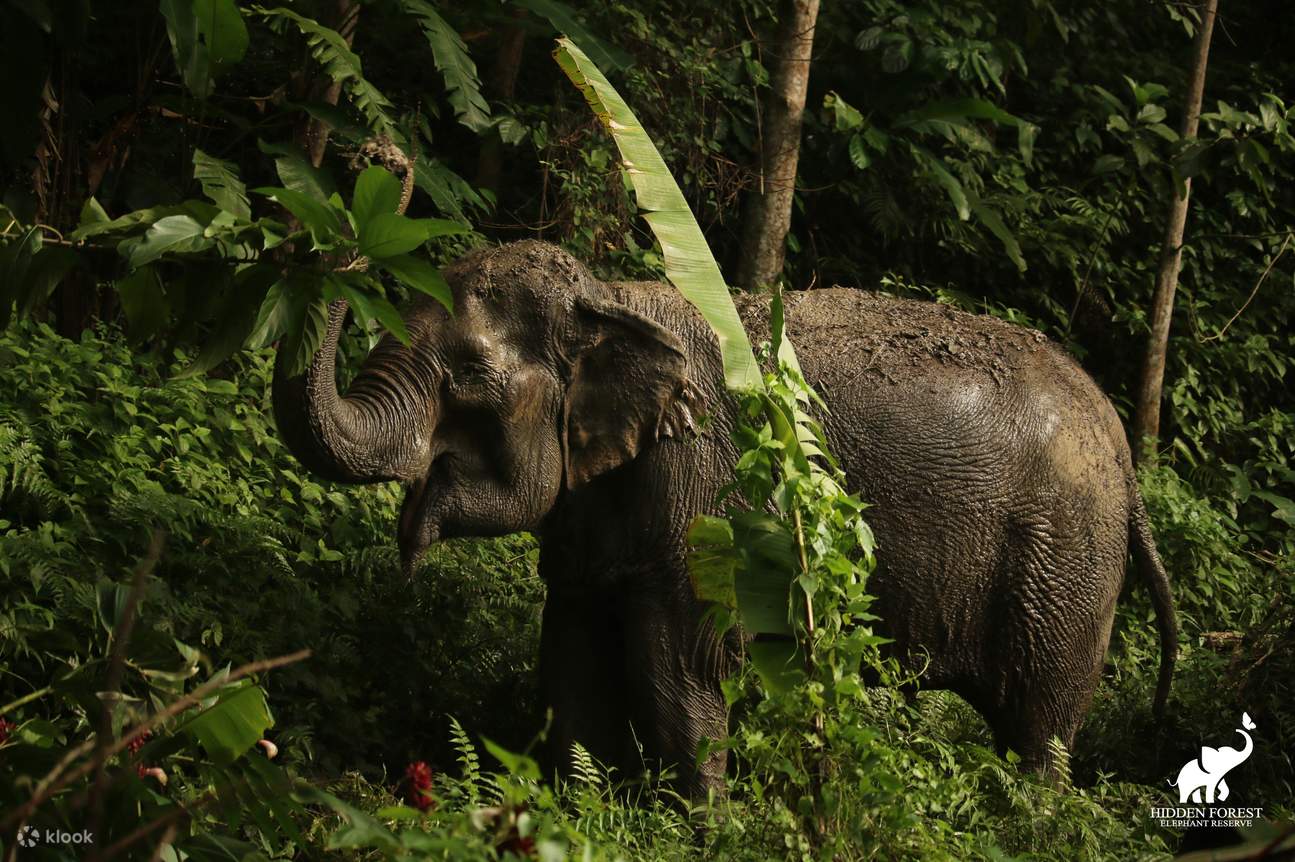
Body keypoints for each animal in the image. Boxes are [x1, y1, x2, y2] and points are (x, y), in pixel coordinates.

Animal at [272, 239, 1178, 795]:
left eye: (464, 375)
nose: (381, 156)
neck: (606, 299)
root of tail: (1123, 458)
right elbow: (570, 664)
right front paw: (587, 809)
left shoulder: (708, 497)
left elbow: (678, 666)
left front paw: (702, 824)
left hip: (1063, 562)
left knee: (1039, 725)